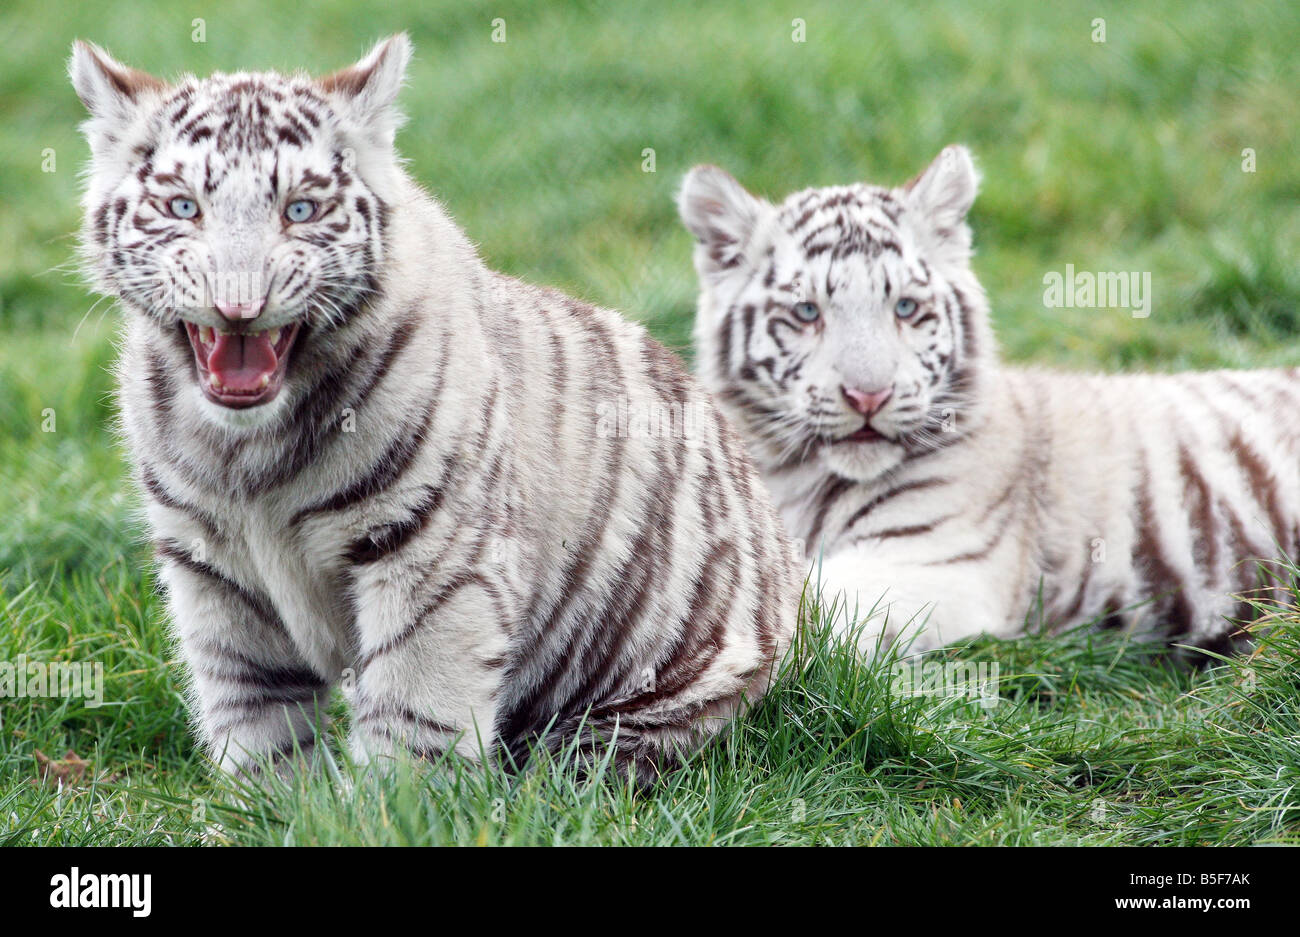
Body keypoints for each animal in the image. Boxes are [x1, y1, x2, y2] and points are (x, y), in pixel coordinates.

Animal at [70, 34, 800, 783]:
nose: (237, 304)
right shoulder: (212, 568)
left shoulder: (434, 549)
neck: (245, 448)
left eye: (300, 210)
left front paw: (390, 800)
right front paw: (273, 796)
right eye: (182, 207)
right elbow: (252, 702)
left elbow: (413, 704)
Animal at [678, 145, 1300, 658]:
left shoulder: (940, 563)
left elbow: (808, 596)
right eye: (807, 312)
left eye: (906, 308)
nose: (868, 395)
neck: (801, 476)